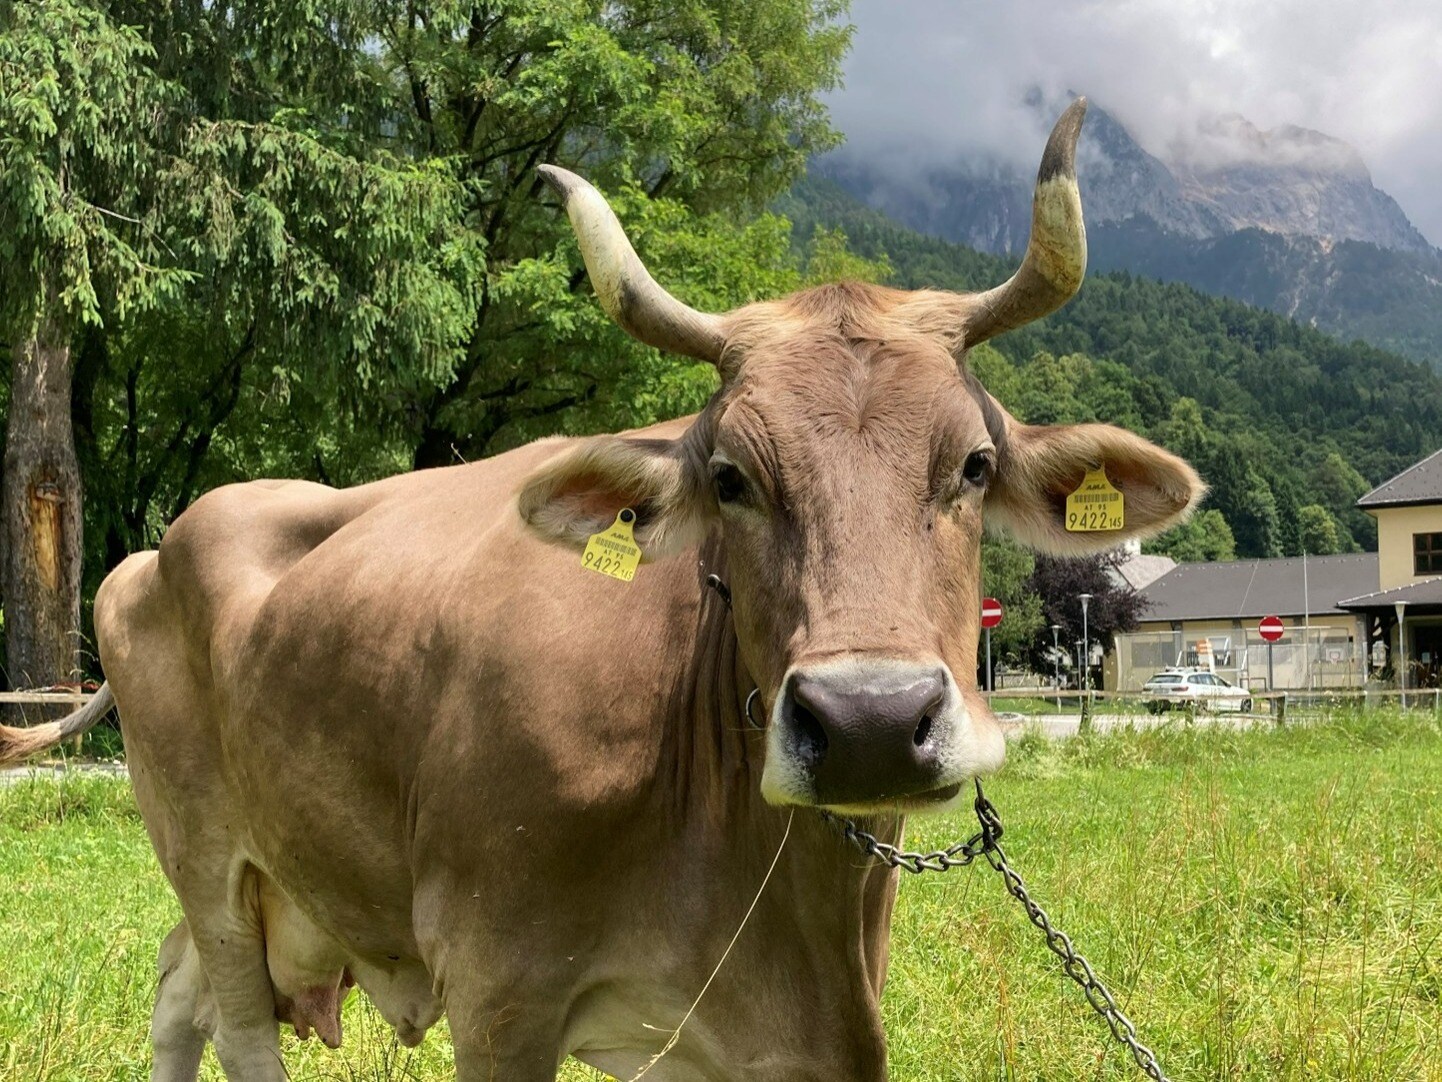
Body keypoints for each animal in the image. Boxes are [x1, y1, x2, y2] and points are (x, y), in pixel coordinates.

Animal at [1, 99, 1201, 1081]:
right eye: (731, 477)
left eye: (973, 467)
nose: (868, 720)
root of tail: (156, 547)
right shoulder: (499, 988)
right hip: (202, 847)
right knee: (238, 1023)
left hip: (282, 890)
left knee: (179, 993)